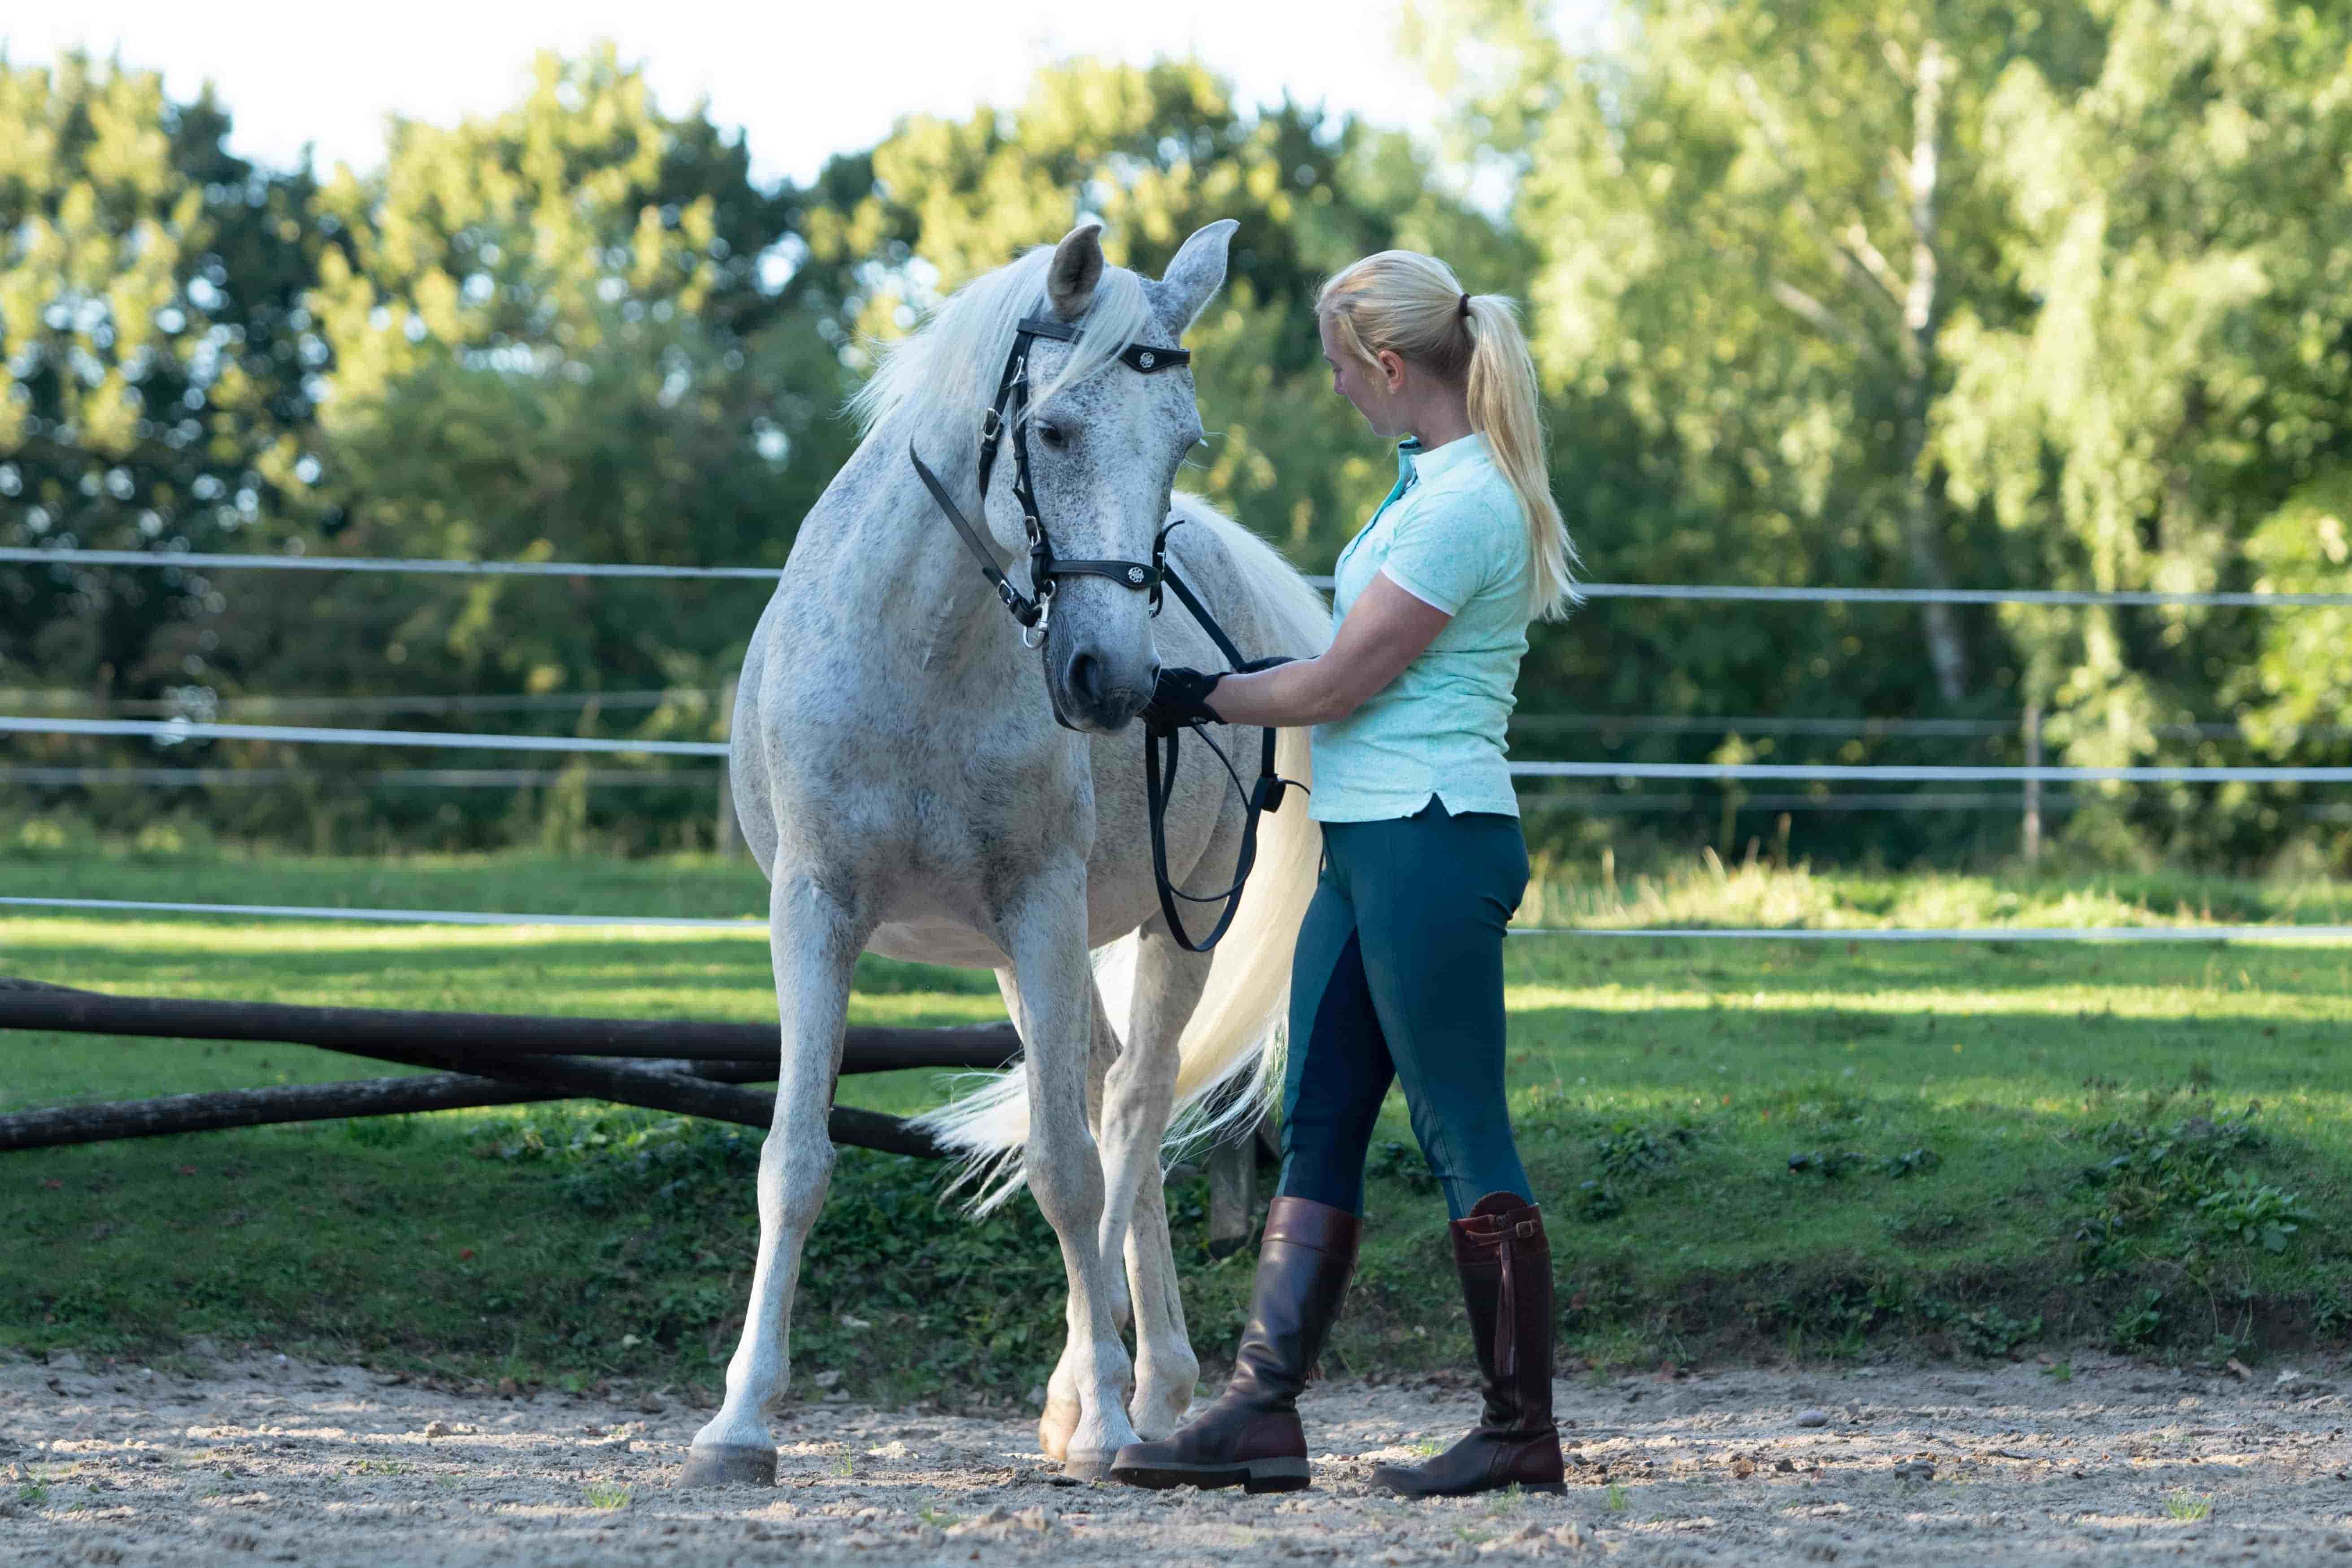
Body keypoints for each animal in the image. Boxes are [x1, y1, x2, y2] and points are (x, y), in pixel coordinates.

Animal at [681, 219, 1330, 1485]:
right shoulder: (816, 910)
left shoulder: (1040, 906)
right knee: (1109, 1092)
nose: (1113, 681)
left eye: (1181, 443)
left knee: (1130, 1111)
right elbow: (793, 1160)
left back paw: (1126, 1392)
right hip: (1034, 956)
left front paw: (1108, 1414)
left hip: (1167, 923)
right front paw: (739, 1422)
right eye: (1055, 429)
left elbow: (1067, 1169)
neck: (924, 653)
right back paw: (1114, 1378)